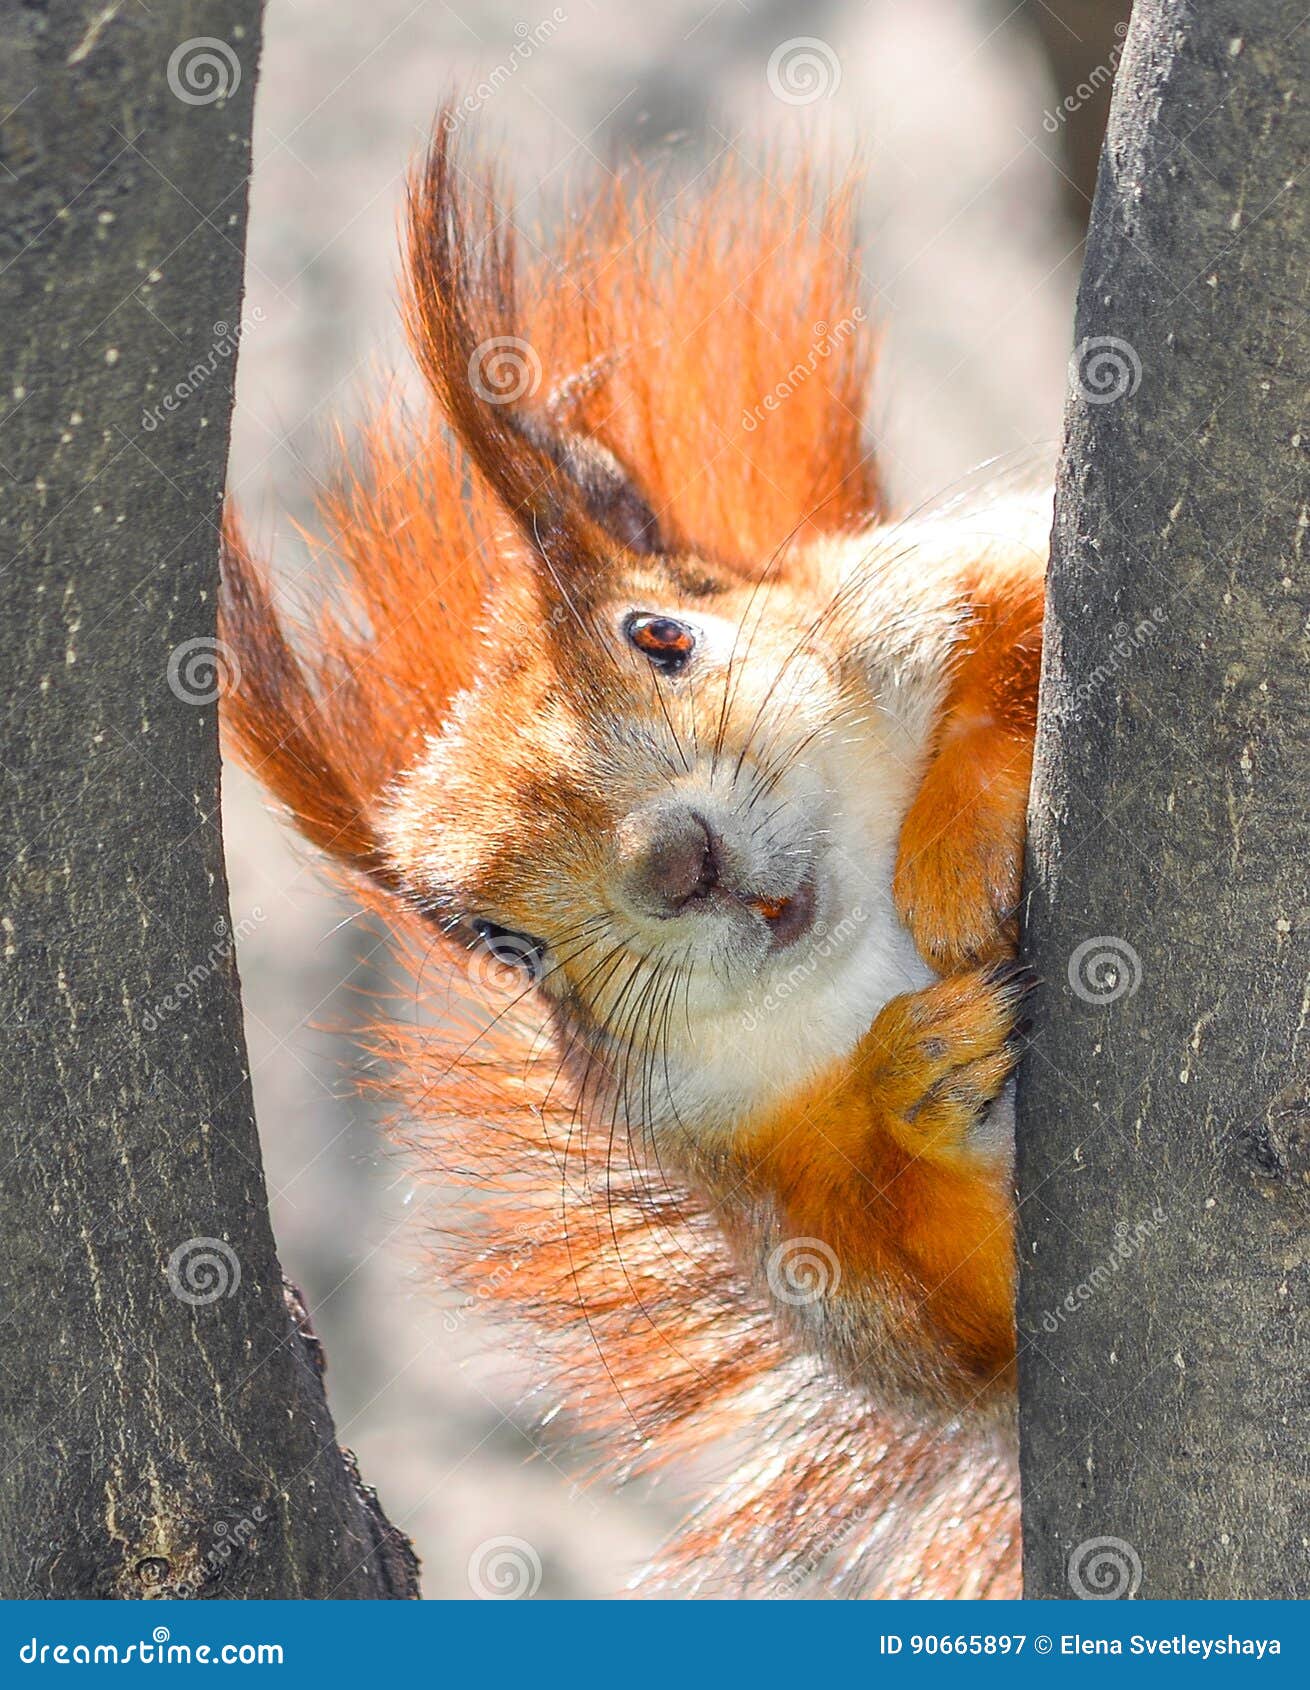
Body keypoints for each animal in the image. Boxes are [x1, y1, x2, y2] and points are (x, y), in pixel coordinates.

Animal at [220, 122, 1047, 1599]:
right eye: (503, 946)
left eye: (660, 634)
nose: (674, 864)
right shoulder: (784, 1207)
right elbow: (954, 1330)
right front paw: (916, 1080)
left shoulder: (949, 577)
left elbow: (1016, 618)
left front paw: (956, 838)